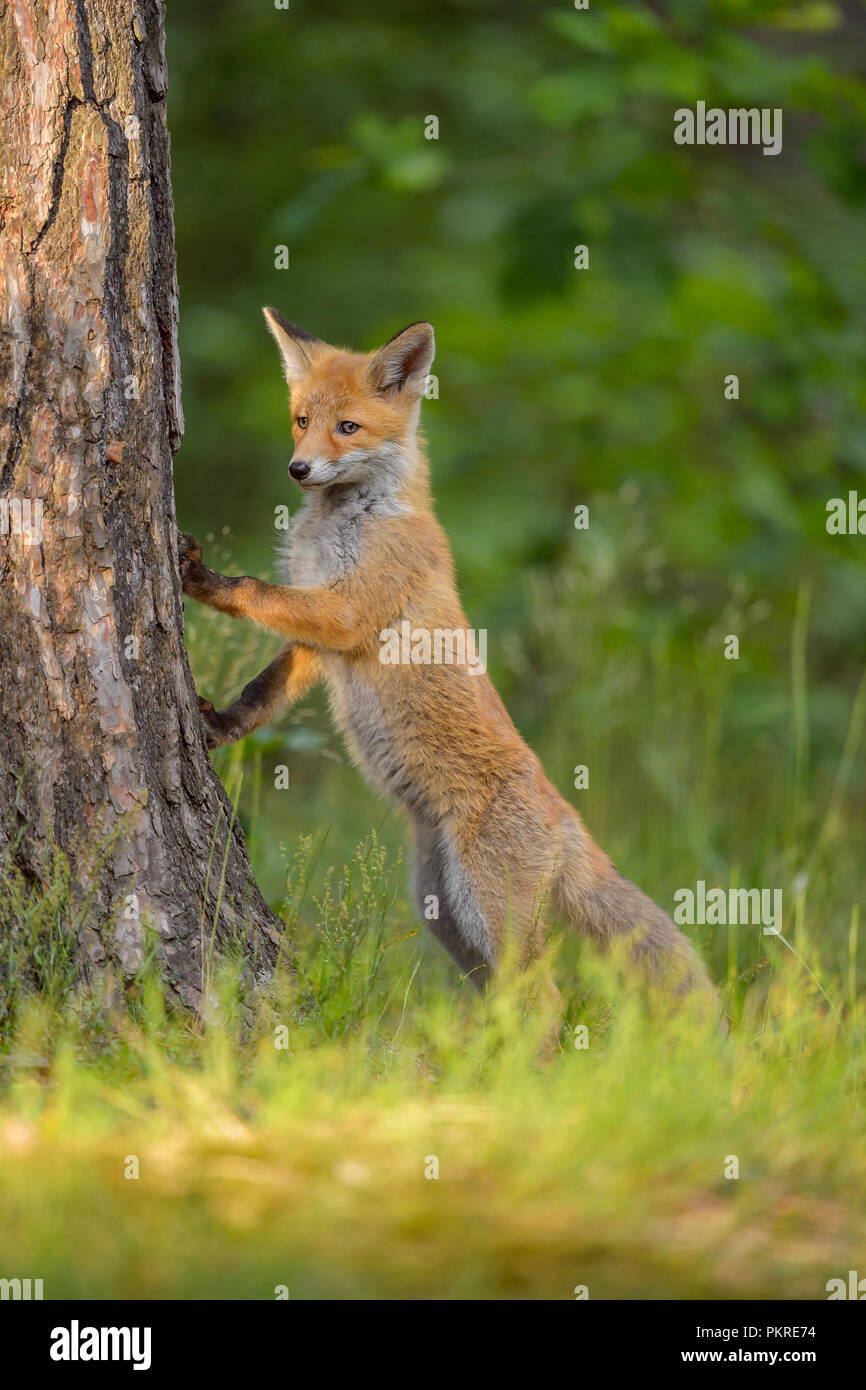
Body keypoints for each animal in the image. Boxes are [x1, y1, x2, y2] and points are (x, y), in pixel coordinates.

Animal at [178, 309, 714, 1028]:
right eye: (301, 419)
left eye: (347, 427)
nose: (298, 468)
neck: (349, 518)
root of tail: (560, 809)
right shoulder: (319, 639)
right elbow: (264, 690)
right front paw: (219, 727)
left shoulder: (347, 611)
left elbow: (257, 592)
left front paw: (204, 579)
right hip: (448, 916)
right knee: (506, 993)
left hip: (488, 909)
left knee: (545, 997)